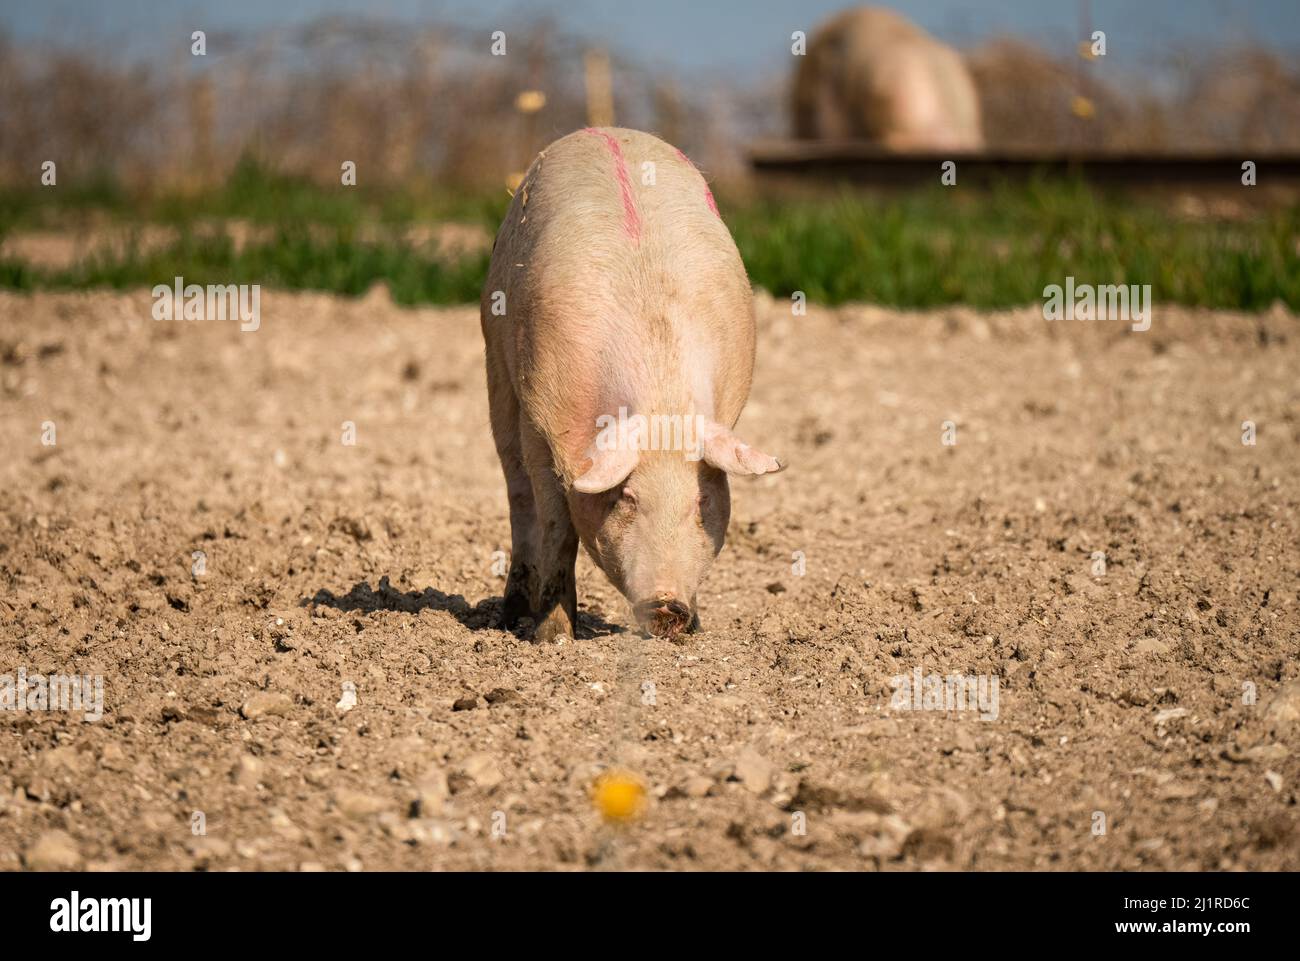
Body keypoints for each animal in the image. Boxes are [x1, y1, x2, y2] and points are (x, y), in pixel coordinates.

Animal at [480, 127, 783, 643]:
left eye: (700, 501)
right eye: (627, 498)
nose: (667, 604)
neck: (661, 395)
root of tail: (602, 130)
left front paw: (696, 629)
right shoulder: (541, 417)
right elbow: (558, 526)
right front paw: (554, 637)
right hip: (495, 367)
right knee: (518, 496)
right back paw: (511, 616)